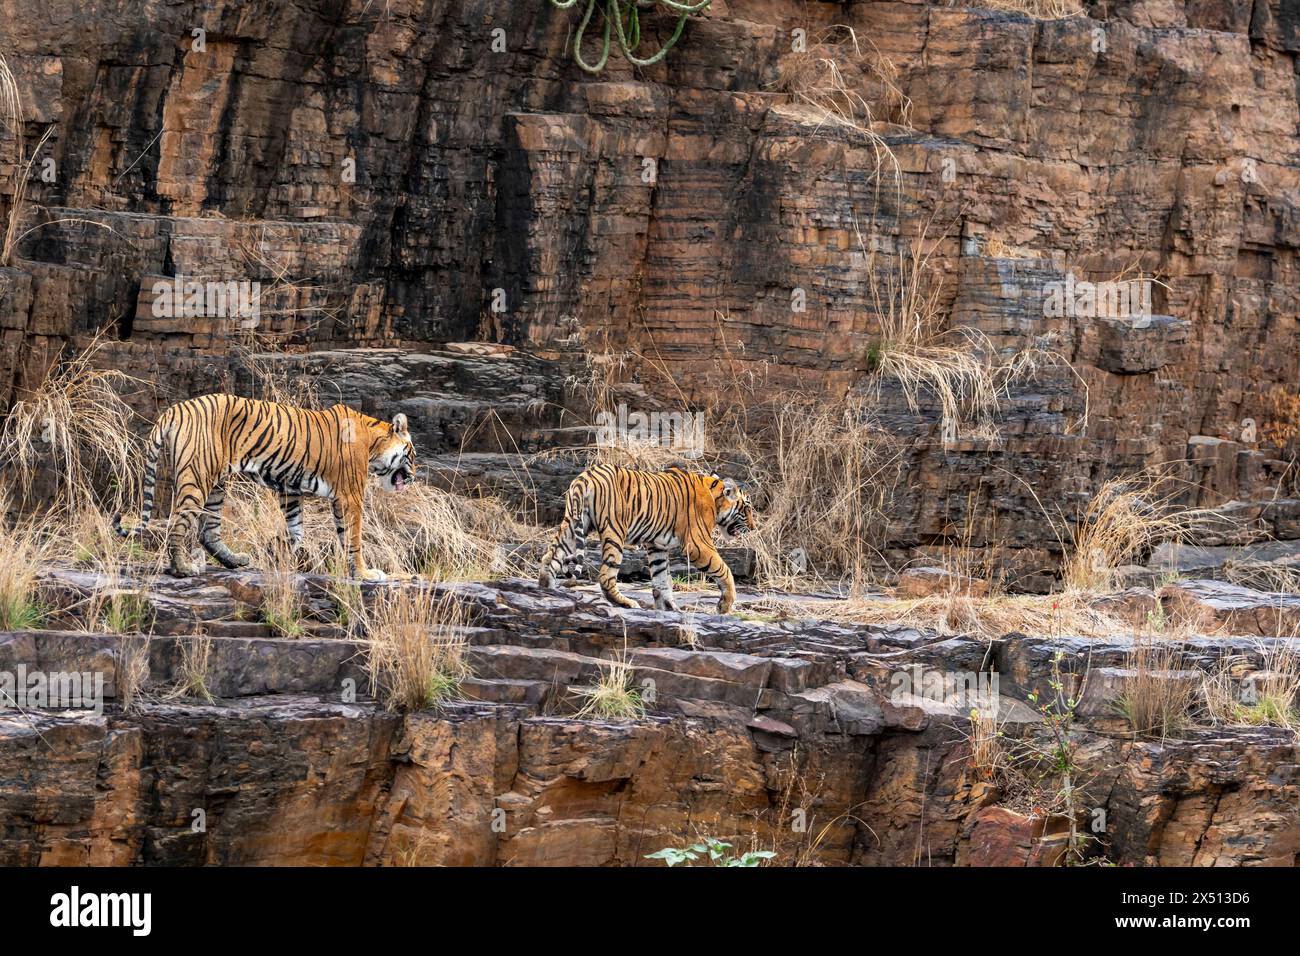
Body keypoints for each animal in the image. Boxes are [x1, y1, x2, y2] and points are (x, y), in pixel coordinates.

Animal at [114, 393, 416, 580]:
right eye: (412, 453)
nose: (413, 477)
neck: (374, 442)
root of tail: (176, 408)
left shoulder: (290, 489)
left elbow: (295, 532)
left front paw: (274, 553)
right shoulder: (350, 495)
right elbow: (353, 537)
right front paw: (365, 574)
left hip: (216, 484)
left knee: (208, 531)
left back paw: (235, 561)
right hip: (197, 477)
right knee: (177, 523)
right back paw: (182, 568)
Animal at [537, 464, 756, 615]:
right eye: (747, 508)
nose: (753, 528)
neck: (714, 495)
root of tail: (585, 476)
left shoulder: (657, 545)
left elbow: (661, 578)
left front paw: (668, 607)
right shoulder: (697, 544)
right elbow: (724, 570)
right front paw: (725, 605)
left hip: (573, 524)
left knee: (550, 557)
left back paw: (547, 590)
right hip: (615, 531)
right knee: (606, 576)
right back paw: (627, 603)